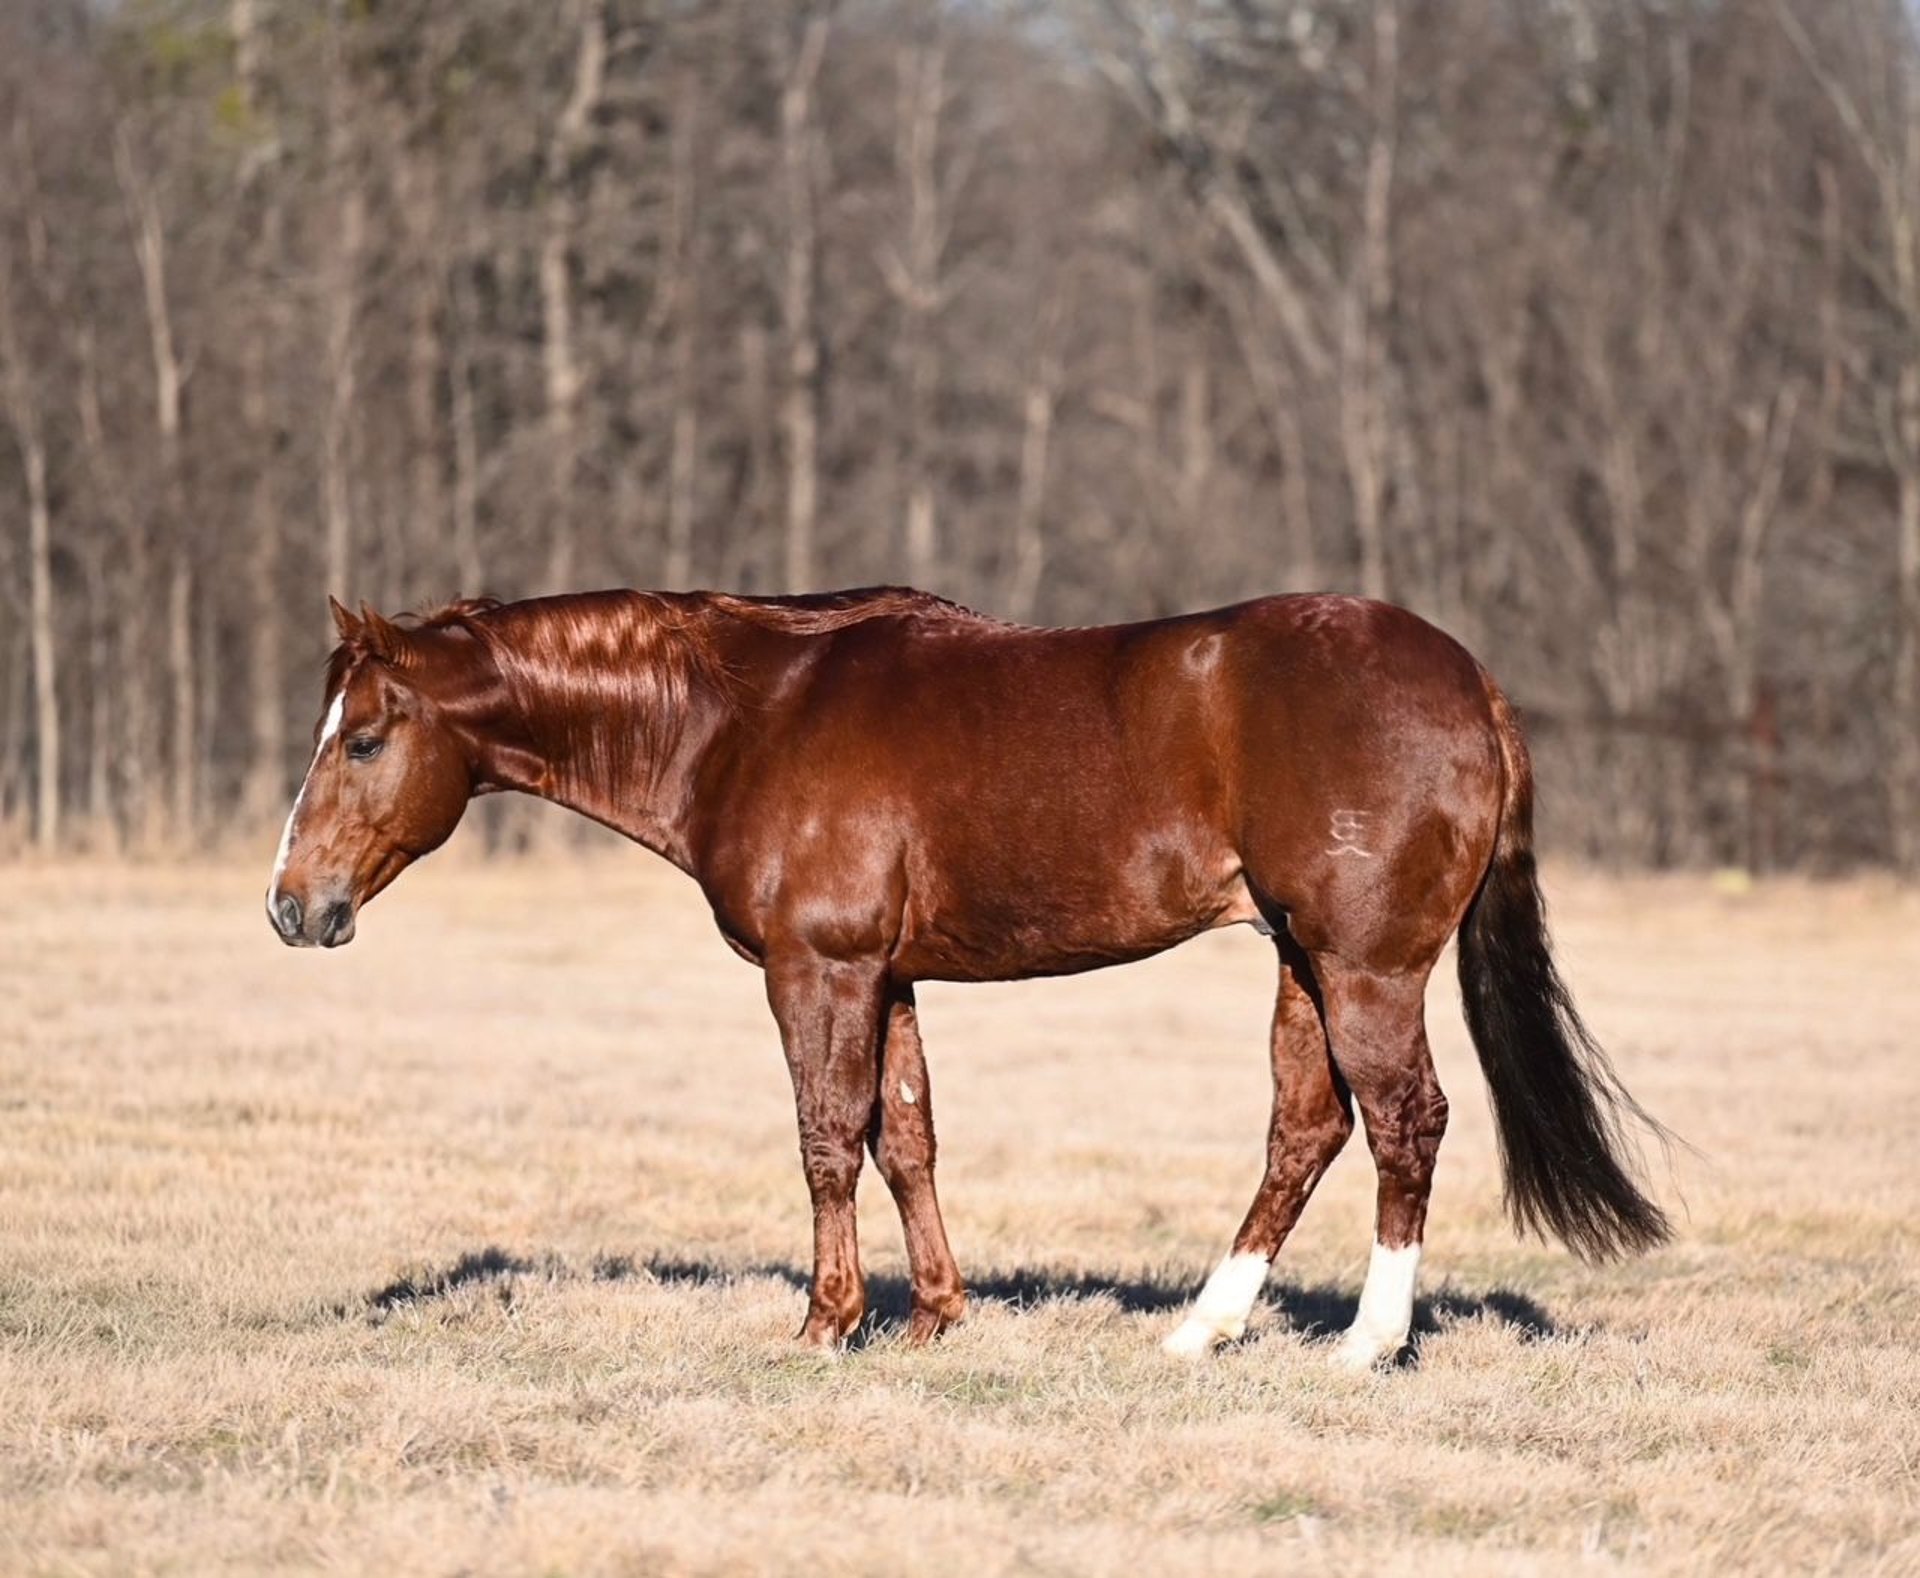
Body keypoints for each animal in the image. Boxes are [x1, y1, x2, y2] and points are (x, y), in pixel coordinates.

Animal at [266, 586, 1669, 1365]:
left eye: (368, 738)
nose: (291, 906)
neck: (743, 716)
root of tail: (1470, 679)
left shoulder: (819, 969)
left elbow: (827, 1136)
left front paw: (827, 1323)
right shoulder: (888, 977)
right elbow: (907, 1136)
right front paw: (934, 1315)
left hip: (1364, 964)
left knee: (1403, 1121)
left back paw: (1372, 1343)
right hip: (1300, 961)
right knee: (1306, 1127)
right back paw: (1201, 1328)